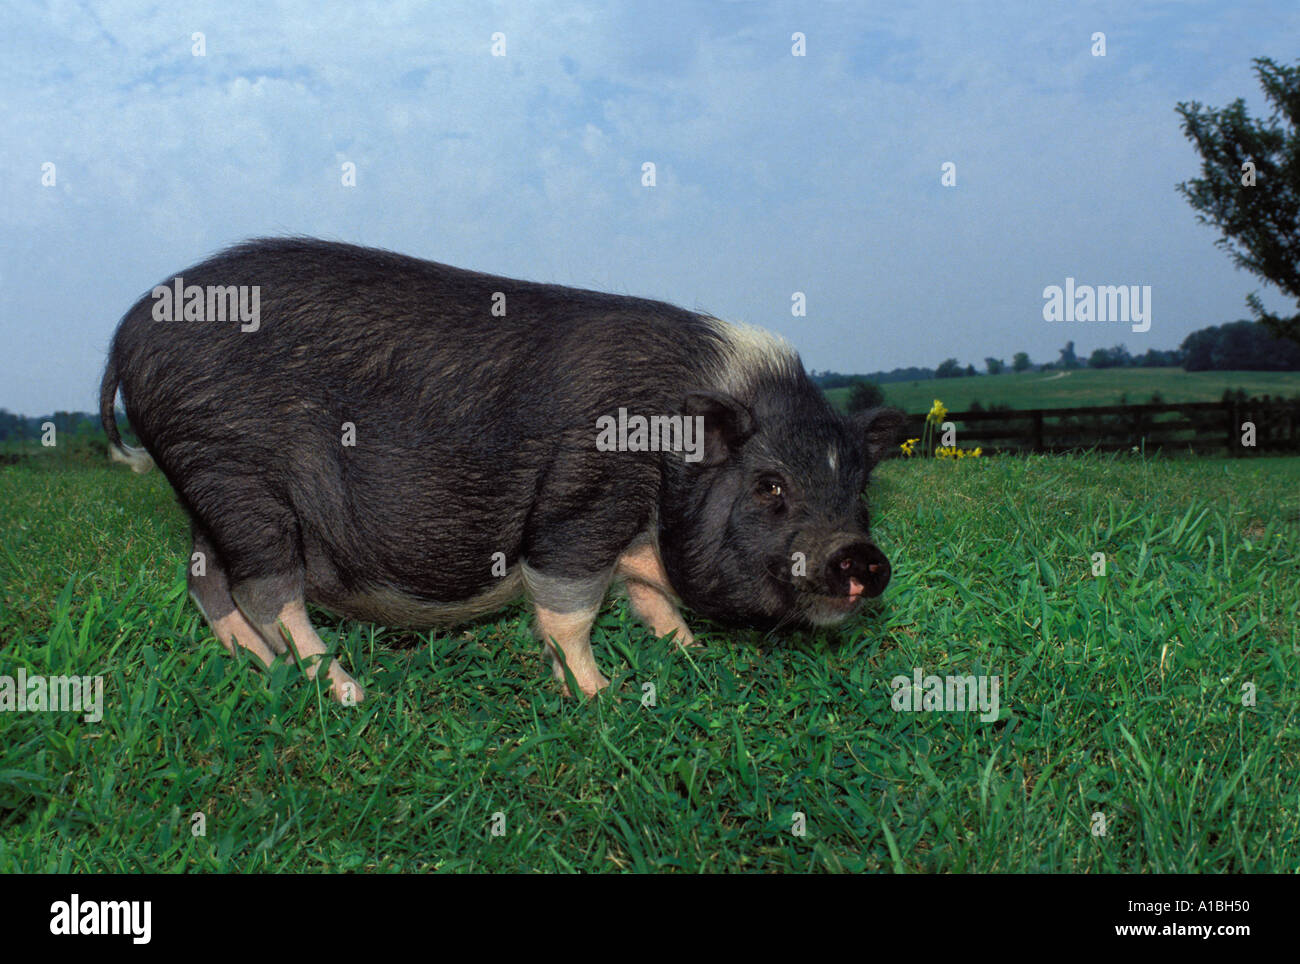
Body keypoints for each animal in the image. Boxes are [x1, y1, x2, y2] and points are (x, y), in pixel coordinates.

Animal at [100, 238, 905, 703]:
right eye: (771, 486)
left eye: (858, 490)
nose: (860, 556)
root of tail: (127, 331)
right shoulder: (584, 498)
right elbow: (568, 605)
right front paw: (601, 696)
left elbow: (650, 600)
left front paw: (695, 658)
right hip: (235, 473)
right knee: (266, 590)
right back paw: (347, 692)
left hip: (205, 487)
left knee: (206, 582)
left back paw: (262, 672)